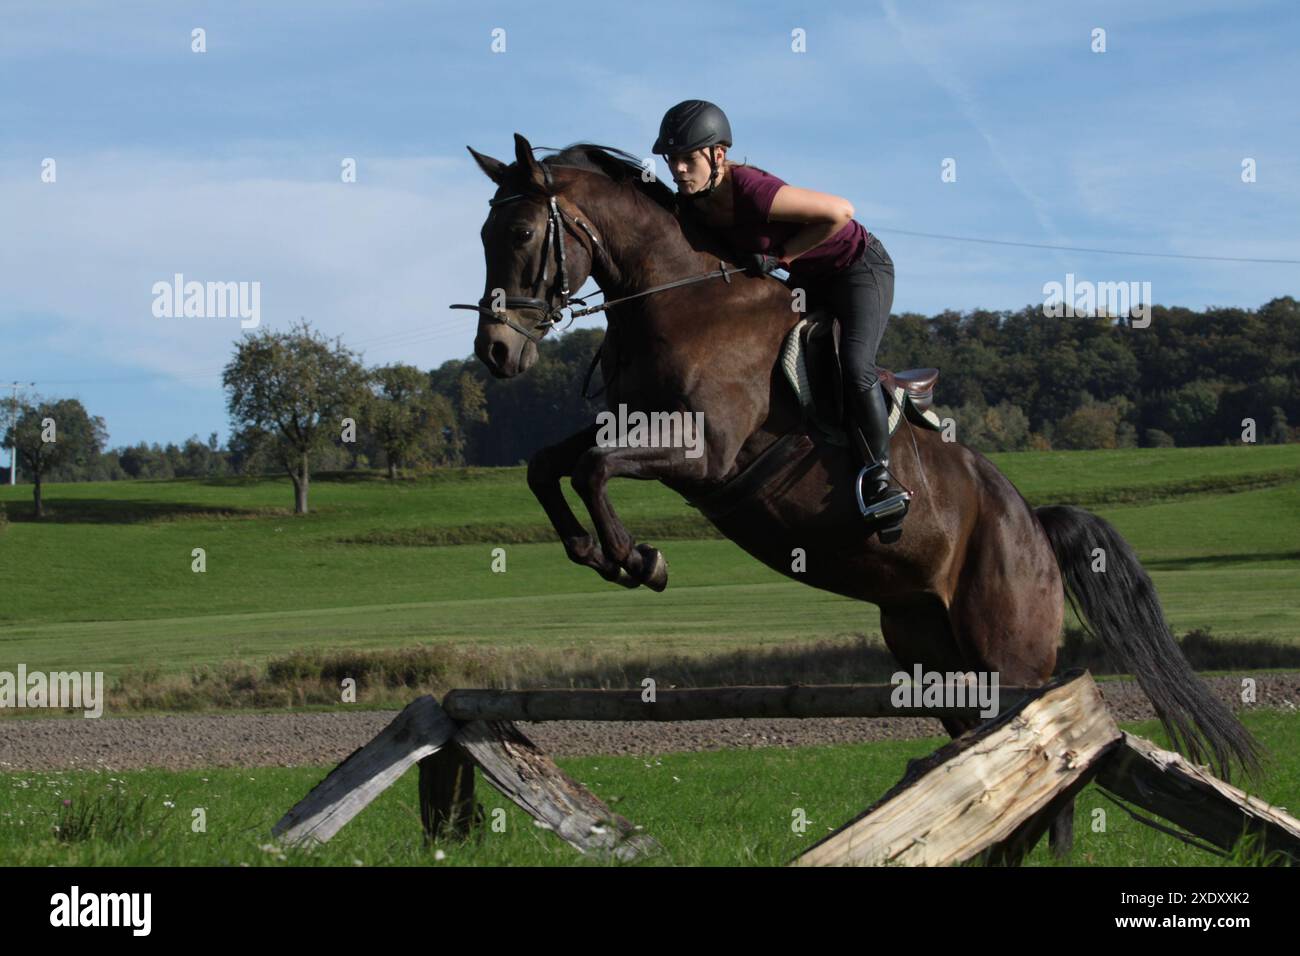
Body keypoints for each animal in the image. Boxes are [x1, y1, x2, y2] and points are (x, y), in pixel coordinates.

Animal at [454, 134, 1262, 853]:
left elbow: (594, 468)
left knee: (1052, 765)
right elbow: (548, 464)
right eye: (484, 234)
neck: (678, 301)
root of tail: (1033, 523)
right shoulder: (630, 424)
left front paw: (637, 560)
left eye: (520, 232)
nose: (496, 352)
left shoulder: (703, 452)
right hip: (934, 656)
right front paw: (590, 550)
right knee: (986, 754)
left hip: (1013, 660)